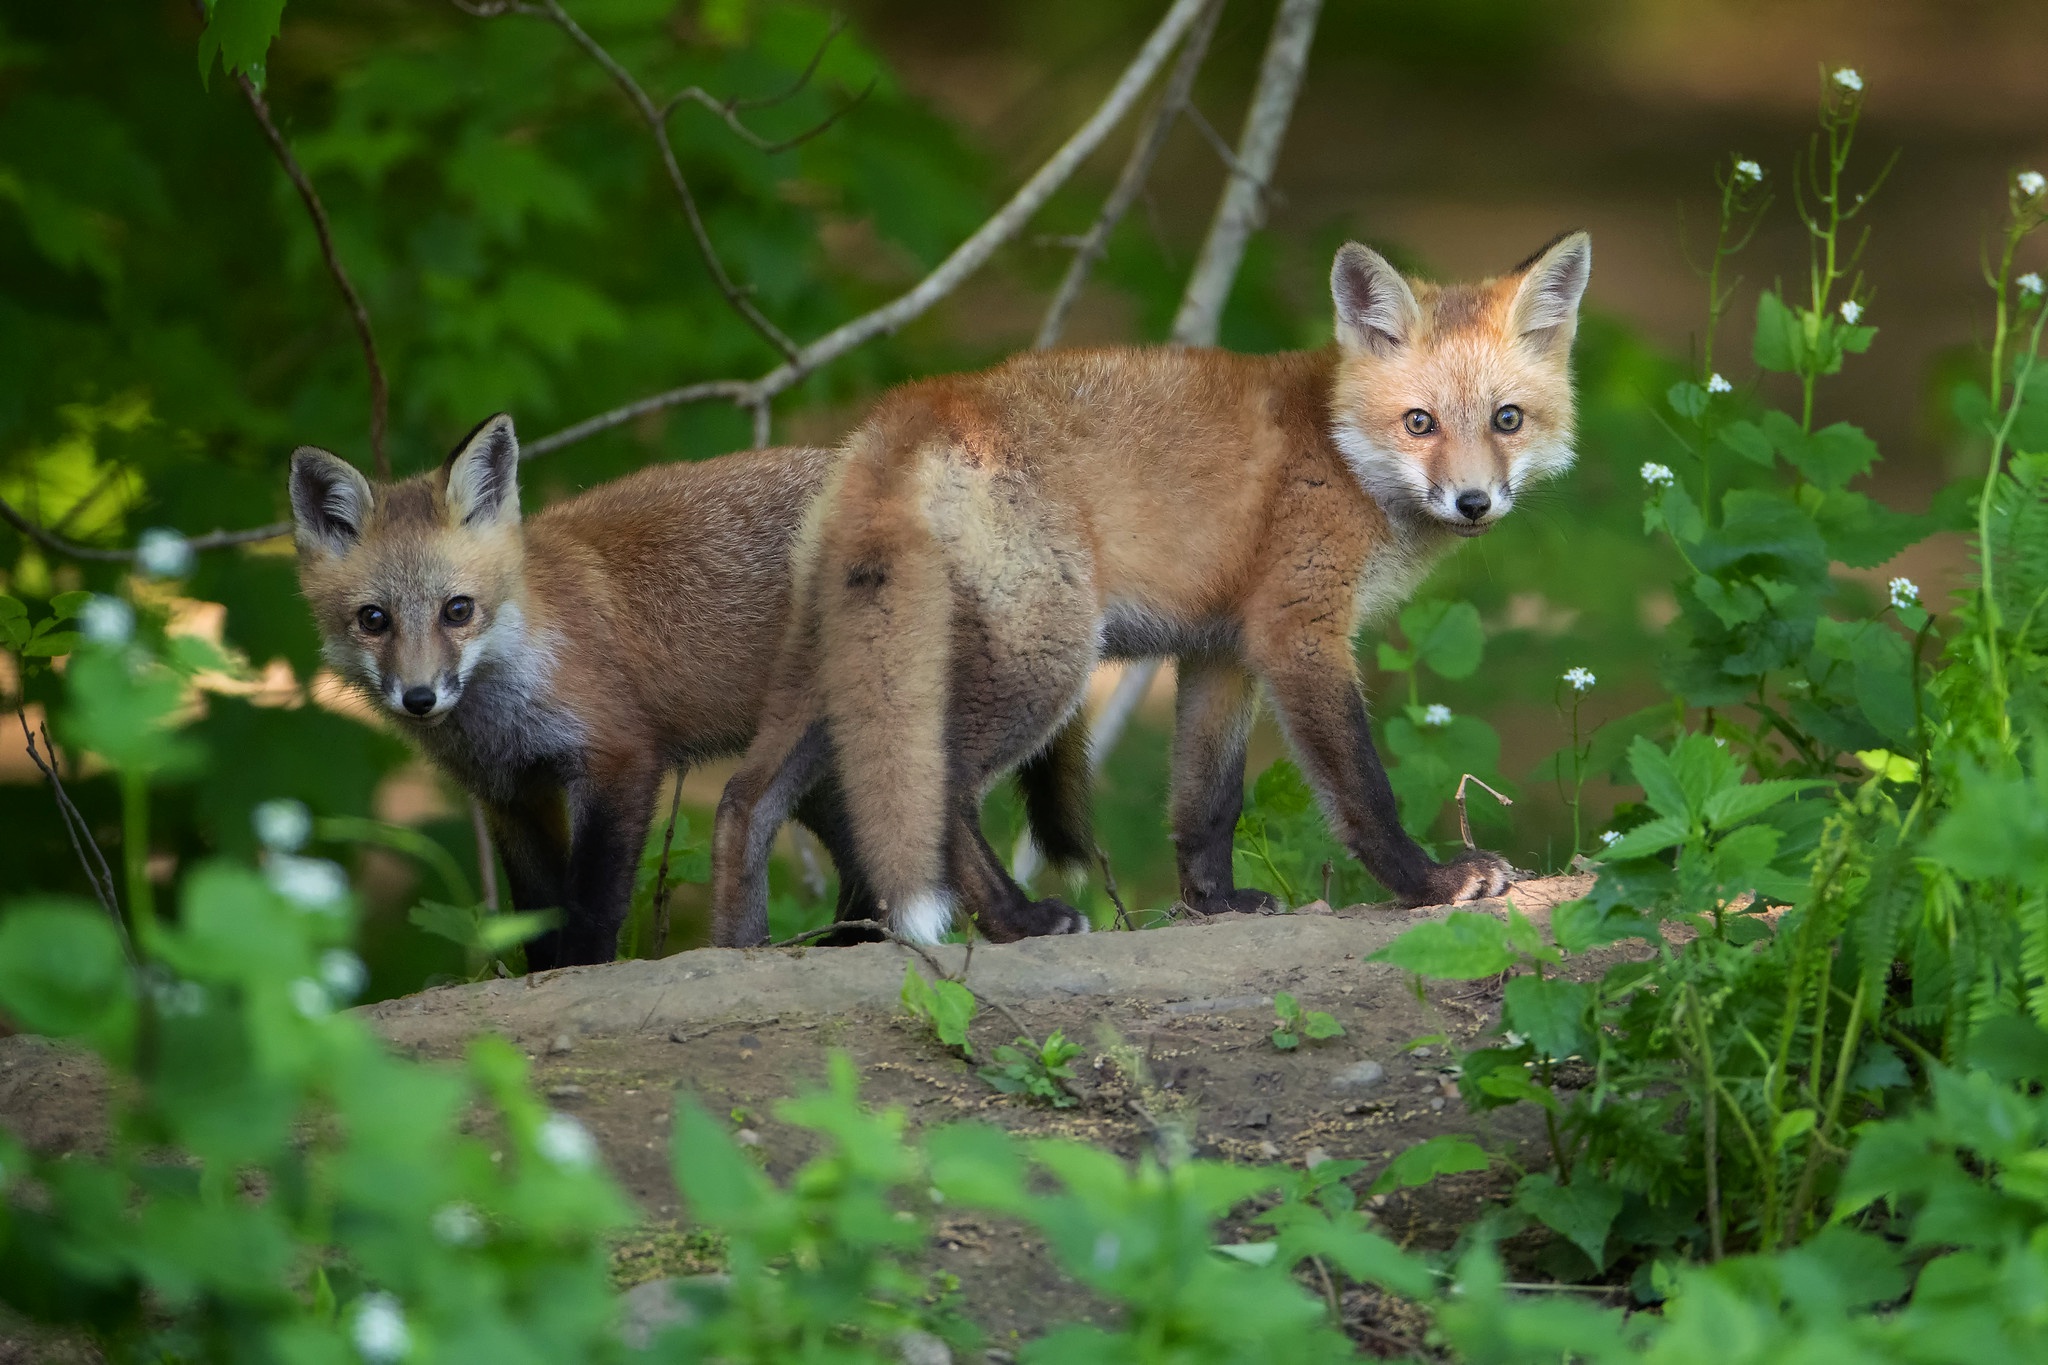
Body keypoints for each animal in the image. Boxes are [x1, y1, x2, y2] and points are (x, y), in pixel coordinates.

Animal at [289, 416, 1095, 969]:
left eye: (458, 610)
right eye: (374, 620)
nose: (419, 698)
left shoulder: (618, 758)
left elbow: (592, 902)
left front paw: (584, 969)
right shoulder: (508, 794)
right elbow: (537, 912)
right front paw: (543, 975)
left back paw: (1015, 921)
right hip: (824, 773)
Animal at [708, 232, 1591, 947]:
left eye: (1508, 419)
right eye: (1419, 423)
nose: (1474, 502)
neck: (1339, 452)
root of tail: (919, 404)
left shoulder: (1222, 651)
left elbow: (1206, 804)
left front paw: (1215, 905)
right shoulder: (1297, 633)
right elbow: (1363, 789)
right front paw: (1430, 882)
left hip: (844, 666)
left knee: (743, 800)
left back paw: (743, 951)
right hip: (1045, 662)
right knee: (942, 786)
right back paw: (1017, 920)